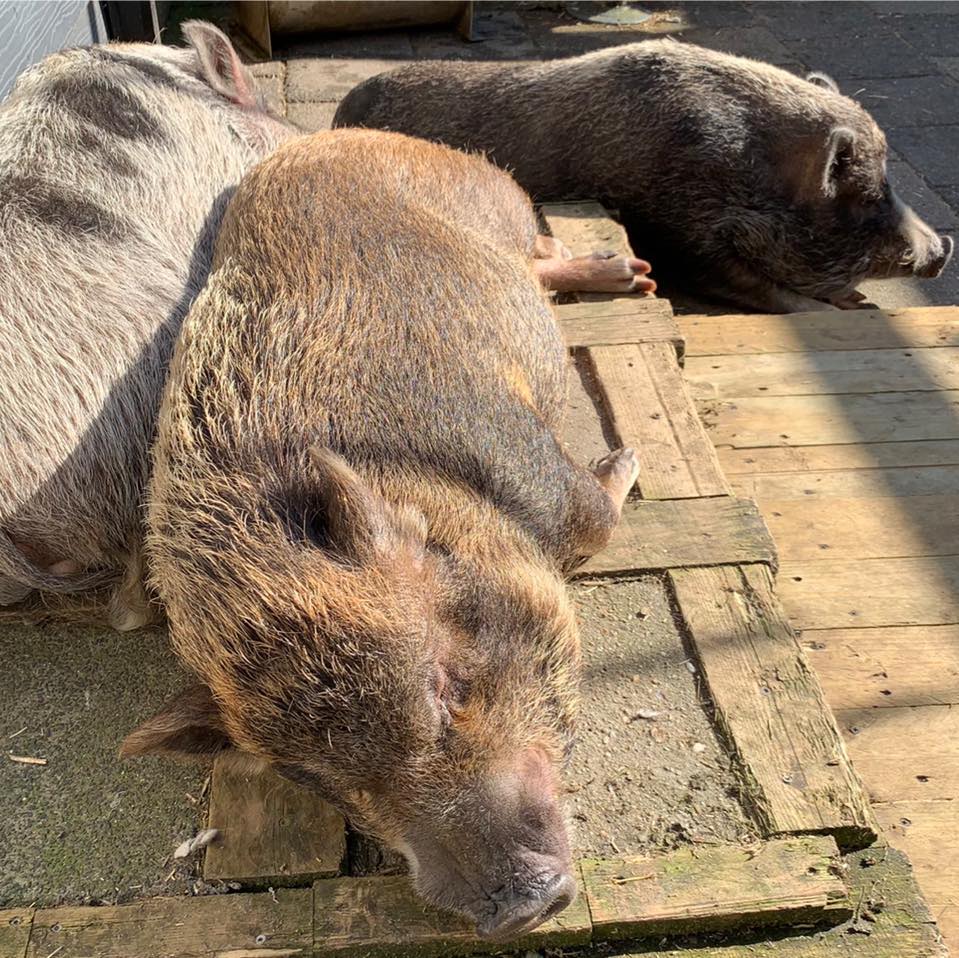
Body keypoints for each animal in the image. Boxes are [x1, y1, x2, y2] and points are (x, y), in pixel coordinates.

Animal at [120, 129, 640, 939]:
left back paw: (632, 276)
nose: (516, 909)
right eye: (319, 777)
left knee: (539, 247)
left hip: (498, 200)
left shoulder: (543, 476)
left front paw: (627, 460)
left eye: (448, 683)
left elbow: (603, 515)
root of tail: (333, 137)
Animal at [334, 39, 954, 313]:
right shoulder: (680, 229)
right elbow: (754, 289)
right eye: (869, 196)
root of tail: (343, 107)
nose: (944, 247)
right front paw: (848, 306)